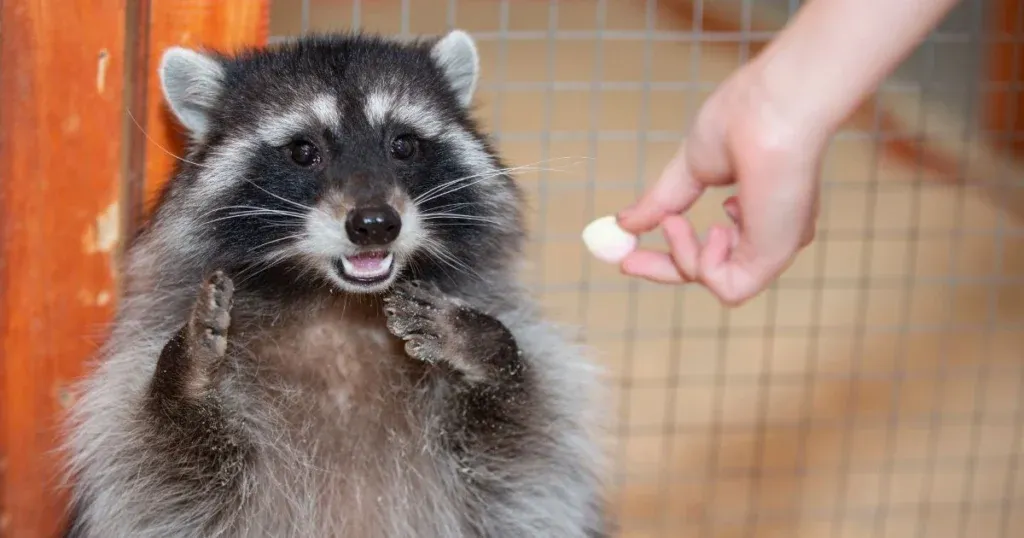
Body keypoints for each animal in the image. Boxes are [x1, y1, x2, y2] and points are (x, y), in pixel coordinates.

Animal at [60, 30, 610, 538]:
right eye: (304, 151)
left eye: (403, 144)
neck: (340, 304)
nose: (375, 224)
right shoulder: (141, 372)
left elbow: (524, 460)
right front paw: (184, 382)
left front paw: (488, 349)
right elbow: (158, 475)